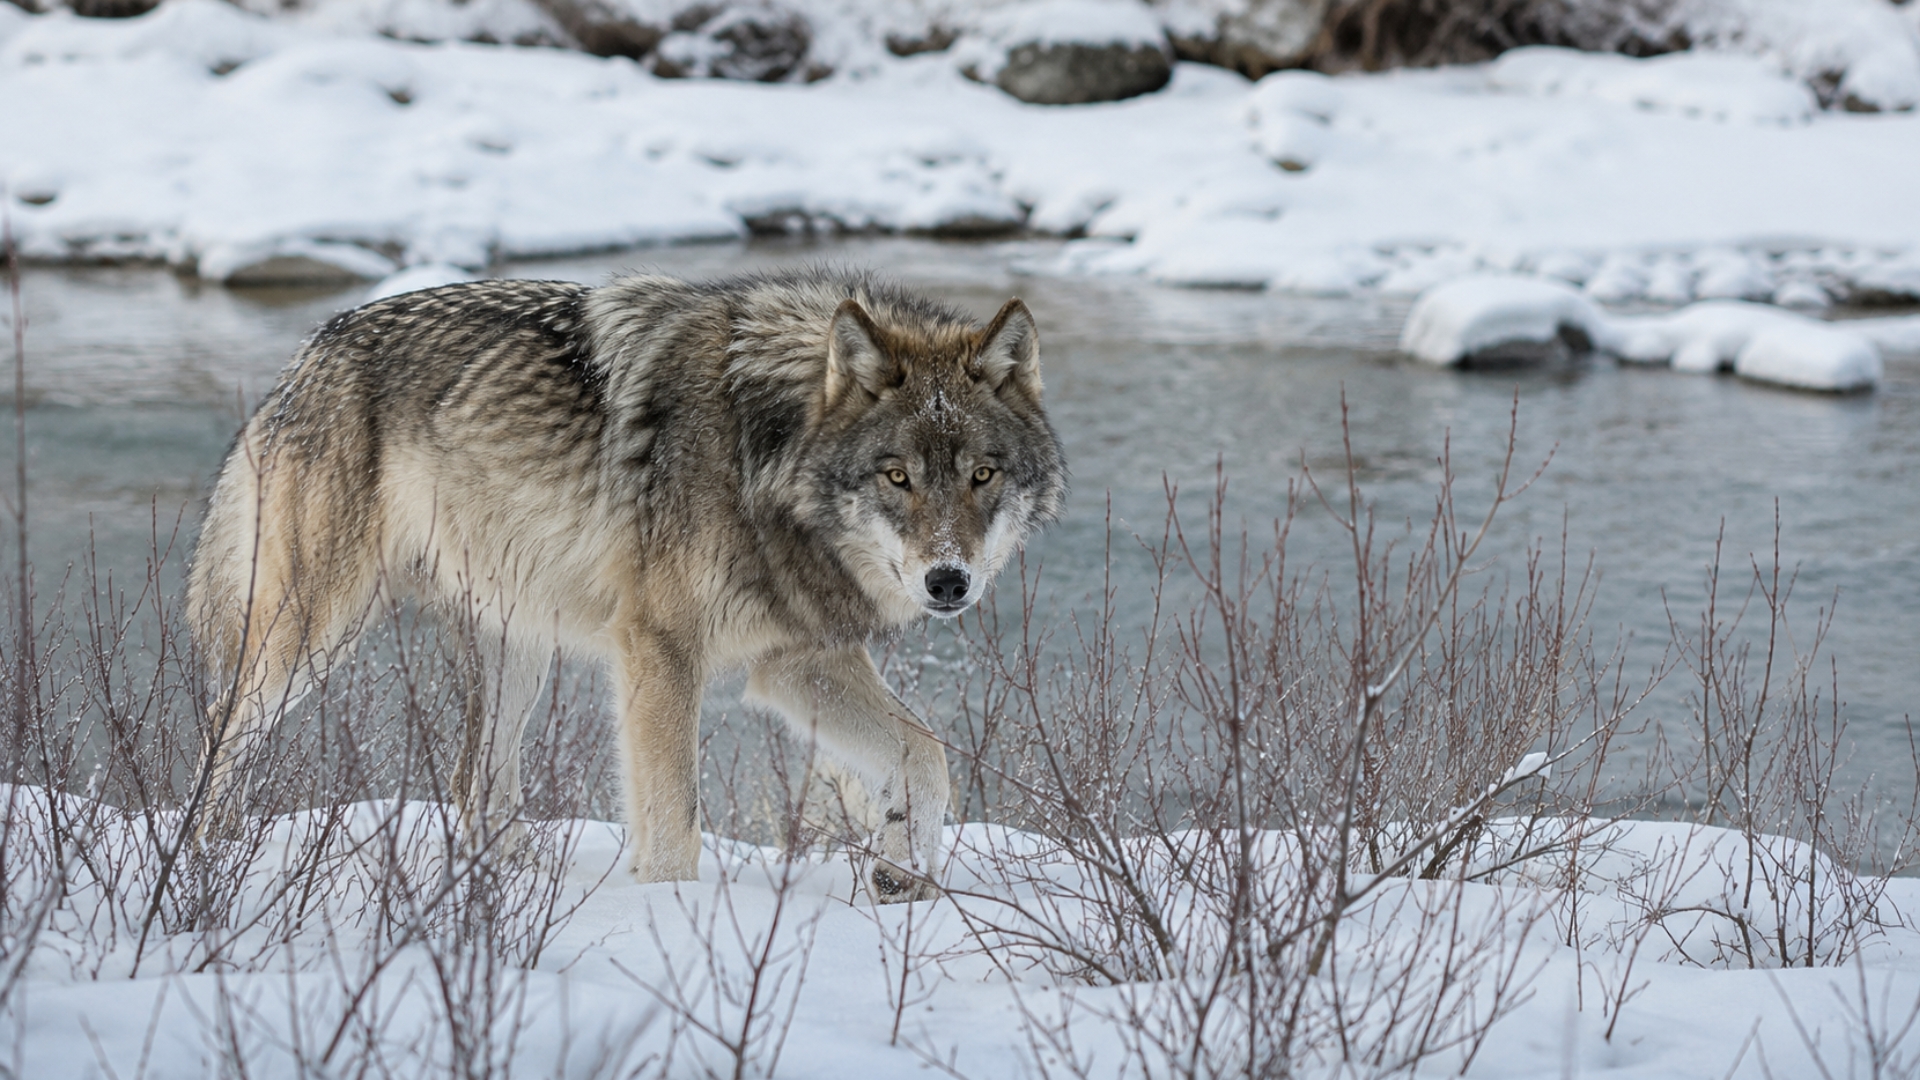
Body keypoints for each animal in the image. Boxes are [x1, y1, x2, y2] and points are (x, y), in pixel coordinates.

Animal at [187, 269, 1067, 900]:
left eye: (982, 475)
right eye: (897, 476)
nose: (947, 582)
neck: (762, 452)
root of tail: (309, 352)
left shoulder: (797, 660)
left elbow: (926, 755)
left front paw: (900, 868)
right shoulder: (661, 649)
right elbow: (673, 824)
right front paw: (667, 920)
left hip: (519, 654)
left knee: (475, 786)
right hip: (311, 635)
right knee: (221, 729)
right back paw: (204, 860)